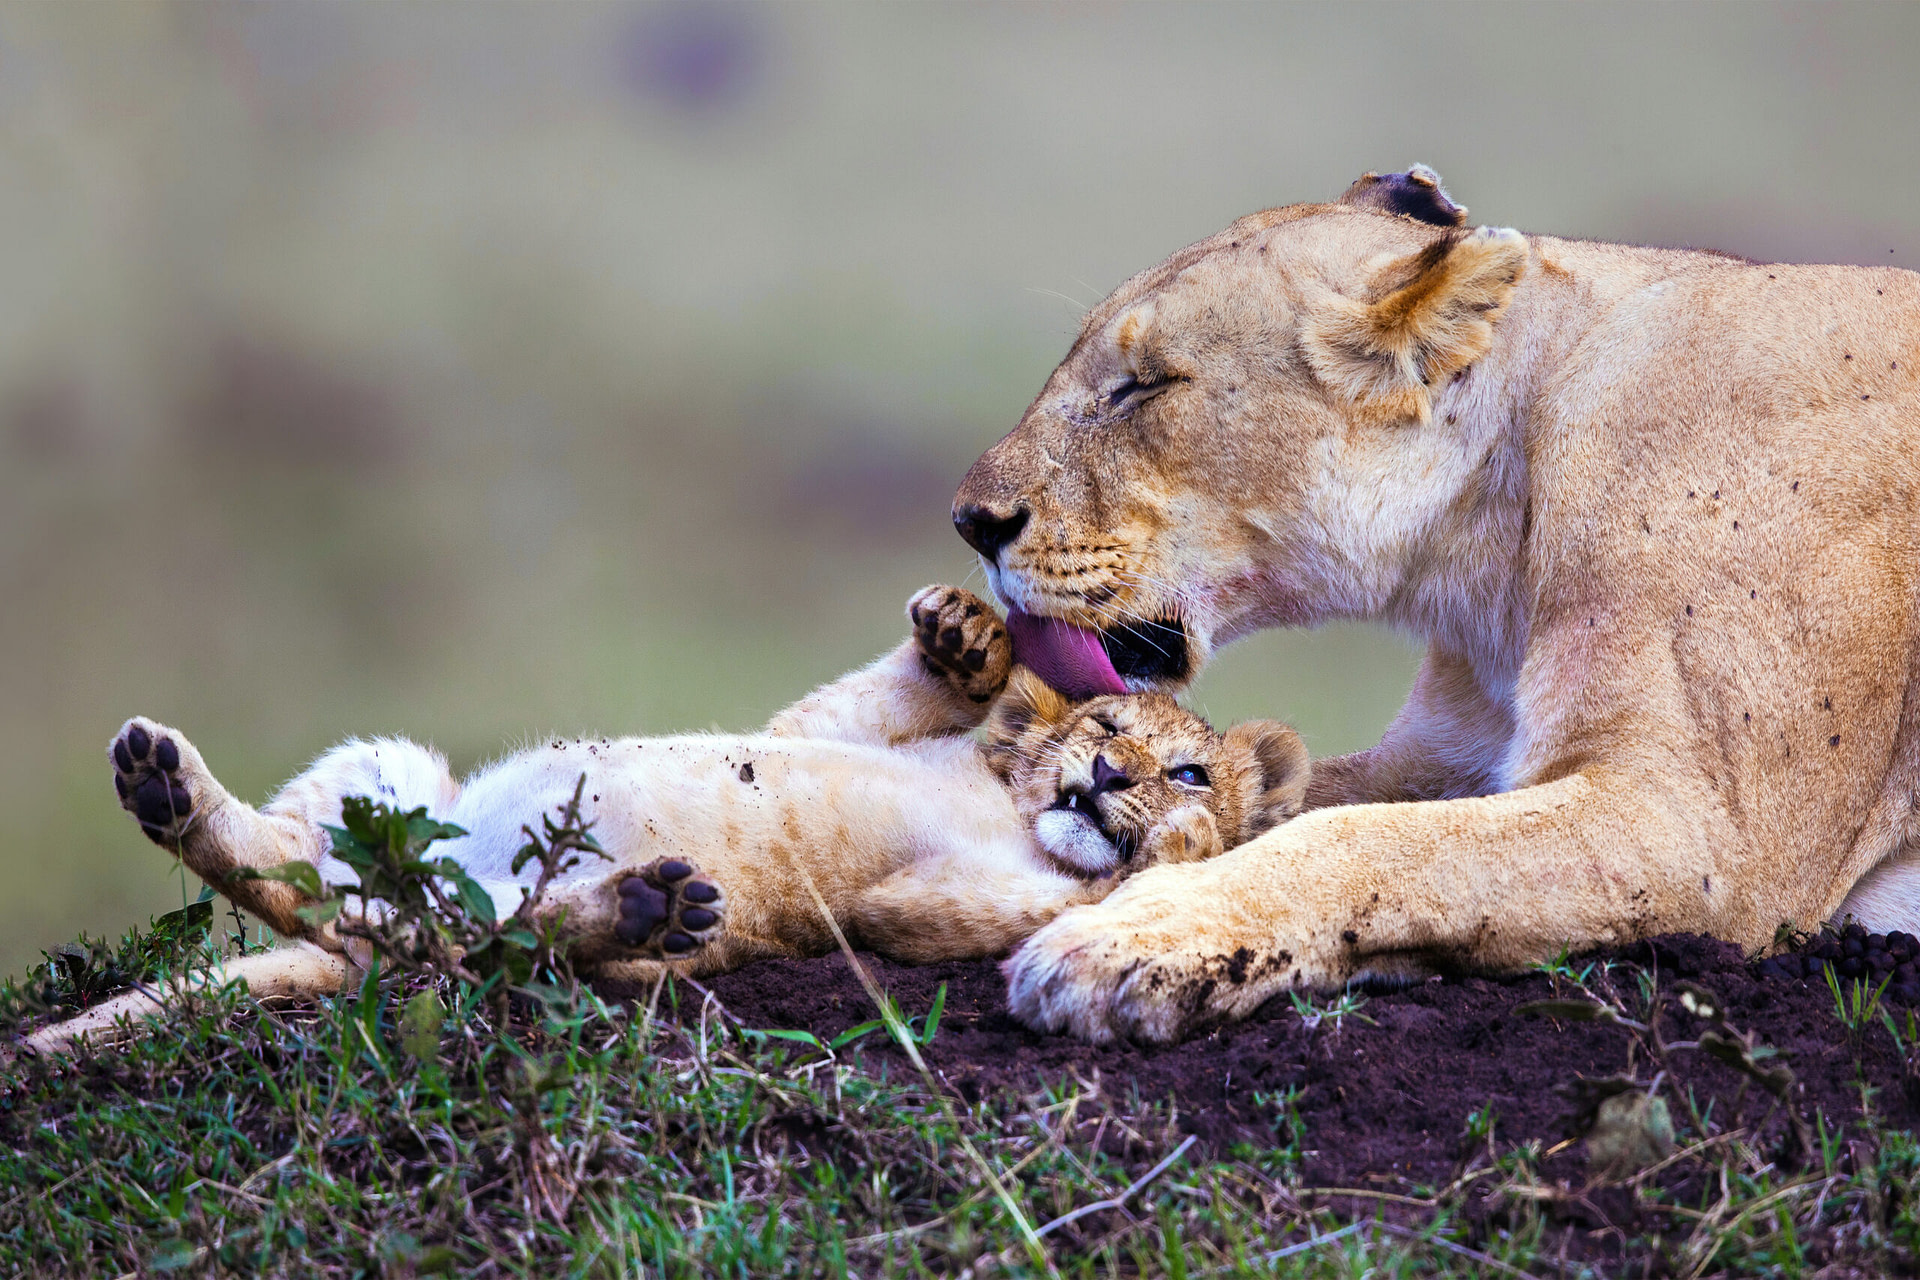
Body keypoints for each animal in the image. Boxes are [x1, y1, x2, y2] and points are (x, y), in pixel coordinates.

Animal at [27, 586, 1307, 1053]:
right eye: (1105, 719)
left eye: (1190, 769)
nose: (1104, 775)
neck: (1006, 803)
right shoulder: (832, 728)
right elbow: (846, 704)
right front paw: (963, 634)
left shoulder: (916, 908)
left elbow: (1065, 891)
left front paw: (1158, 858)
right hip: (384, 777)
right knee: (304, 874)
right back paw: (163, 780)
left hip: (544, 917)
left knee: (478, 945)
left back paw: (639, 902)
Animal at [952, 164, 1920, 1044]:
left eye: (1143, 384)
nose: (970, 521)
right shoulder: (1437, 756)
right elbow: (1301, 798)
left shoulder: (1710, 836)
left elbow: (1365, 840)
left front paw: (1129, 939)